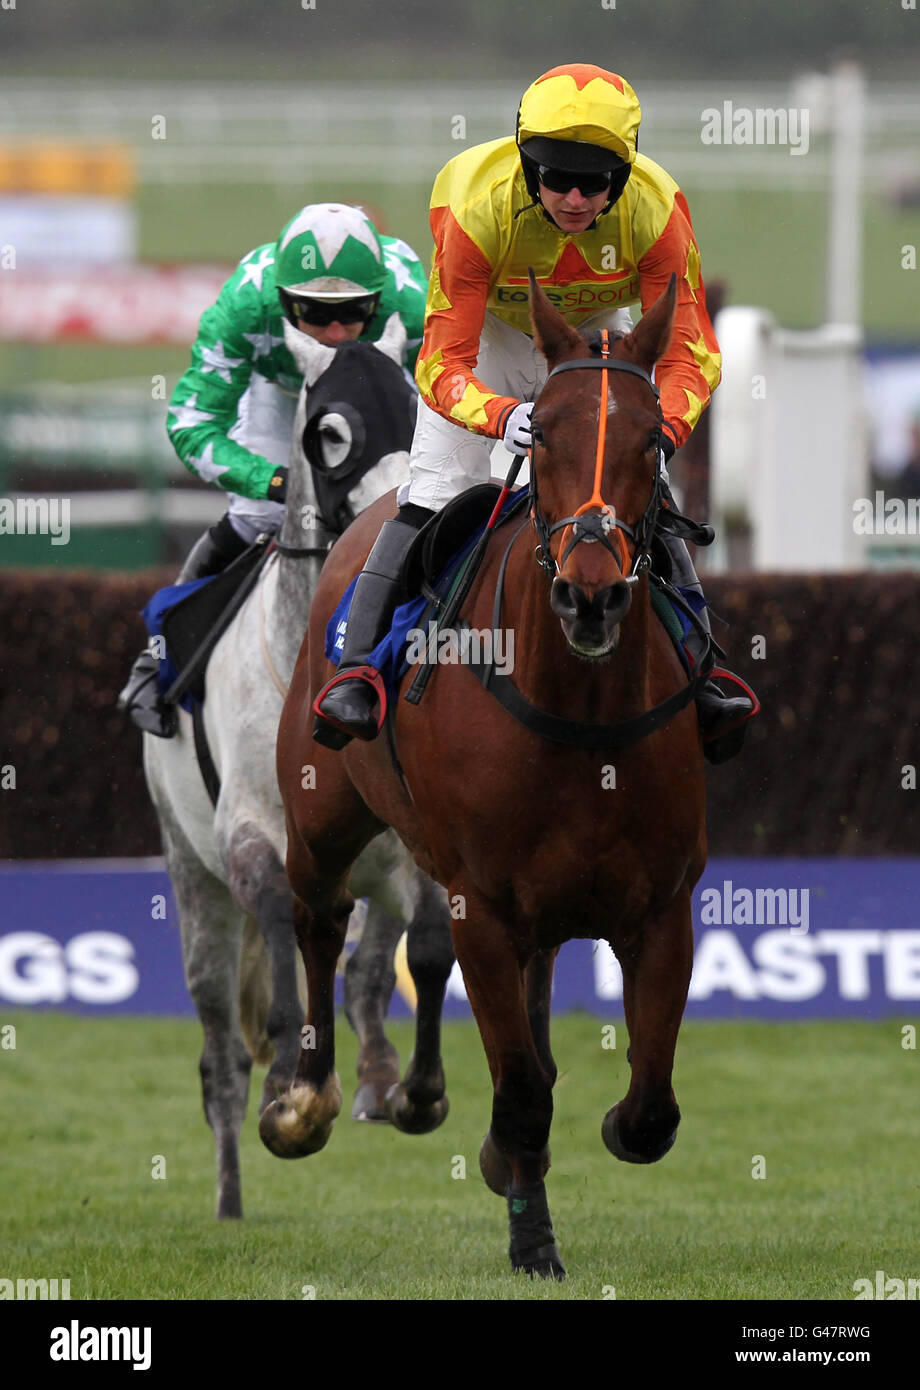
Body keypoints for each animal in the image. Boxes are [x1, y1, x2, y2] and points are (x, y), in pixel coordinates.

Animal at [142, 315, 454, 1220]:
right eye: (332, 431)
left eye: (417, 408)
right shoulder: (250, 835)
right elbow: (284, 934)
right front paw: (294, 1094)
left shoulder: (412, 841)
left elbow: (426, 946)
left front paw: (414, 1089)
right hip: (192, 879)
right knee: (220, 1050)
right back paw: (230, 1195)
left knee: (365, 972)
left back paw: (378, 1076)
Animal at [267, 273, 708, 1278]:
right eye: (540, 437)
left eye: (654, 440)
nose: (591, 595)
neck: (584, 711)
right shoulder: (485, 910)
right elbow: (523, 1088)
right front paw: (532, 1234)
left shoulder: (663, 906)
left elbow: (647, 1108)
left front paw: (568, 1150)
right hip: (320, 813)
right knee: (318, 919)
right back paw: (302, 1101)